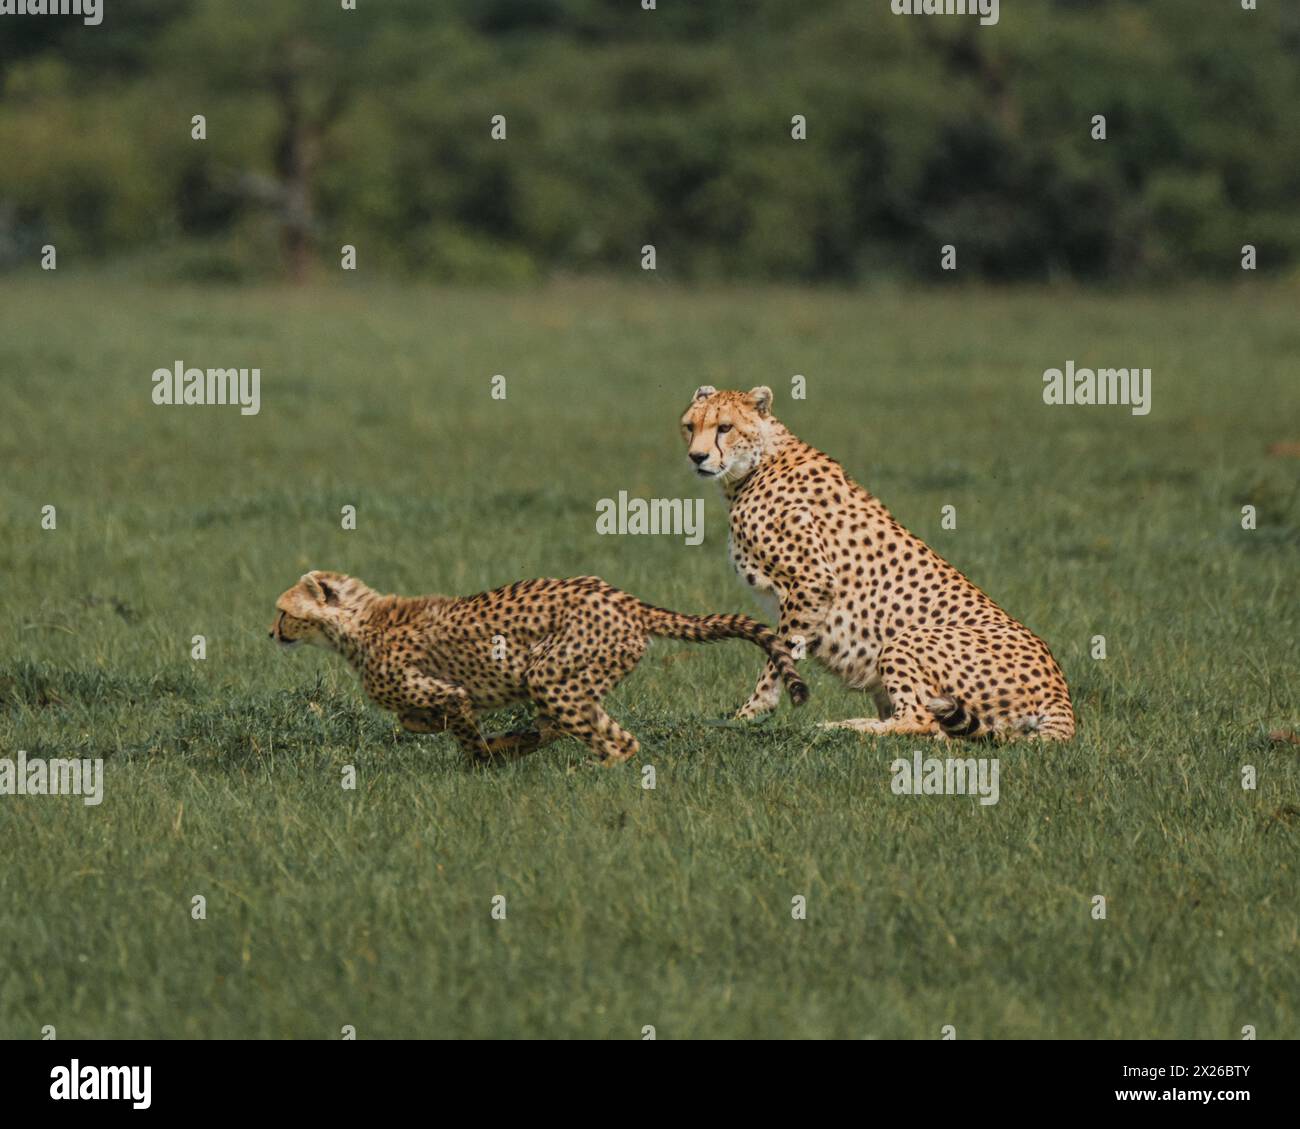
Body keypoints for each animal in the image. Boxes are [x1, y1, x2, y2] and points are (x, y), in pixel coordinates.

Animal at [270, 570, 808, 764]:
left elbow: (463, 734)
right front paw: (506, 744)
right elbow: (415, 720)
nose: (270, 634)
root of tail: (625, 598)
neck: (358, 624)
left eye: (283, 612)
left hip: (549, 675)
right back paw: (531, 741)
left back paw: (592, 771)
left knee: (619, 742)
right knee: (571, 727)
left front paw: (487, 756)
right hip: (571, 681)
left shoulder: (450, 693)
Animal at [679, 385, 1075, 741]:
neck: (758, 462)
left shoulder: (812, 581)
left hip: (907, 639)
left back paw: (842, 727)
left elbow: (779, 656)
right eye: (689, 426)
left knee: (919, 719)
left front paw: (749, 714)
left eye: (725, 427)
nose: (697, 457)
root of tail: (1060, 691)